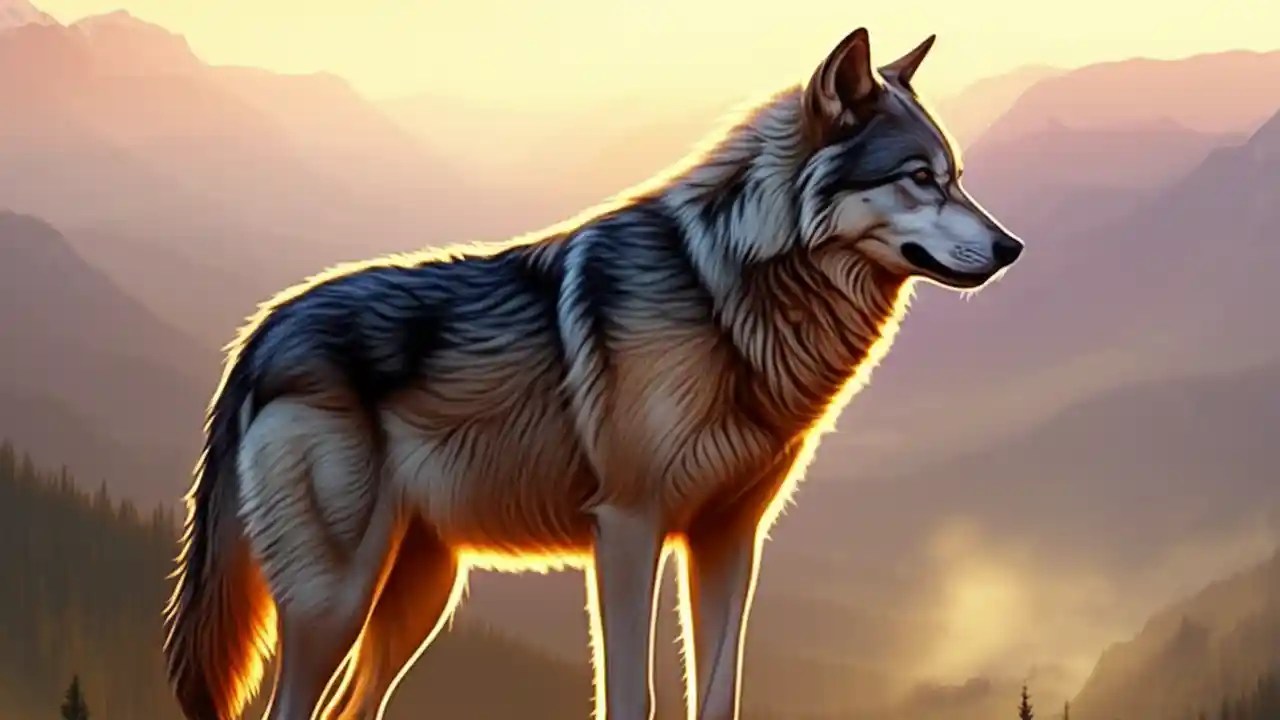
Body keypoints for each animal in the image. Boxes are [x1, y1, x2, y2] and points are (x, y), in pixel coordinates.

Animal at [162, 26, 1023, 720]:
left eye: (956, 175)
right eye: (920, 176)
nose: (1012, 247)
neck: (728, 295)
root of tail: (261, 331)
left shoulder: (729, 540)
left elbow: (718, 695)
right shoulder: (628, 530)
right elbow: (633, 696)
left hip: (420, 593)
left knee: (351, 707)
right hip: (336, 600)